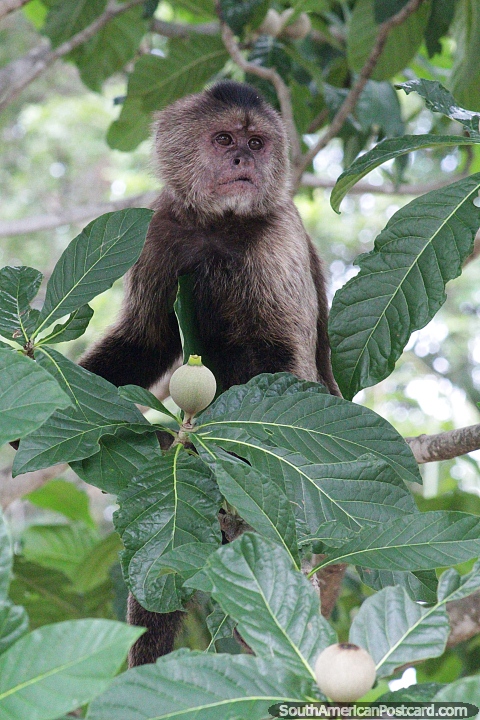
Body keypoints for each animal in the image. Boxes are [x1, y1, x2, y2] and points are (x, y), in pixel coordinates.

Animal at [79, 80, 340, 666]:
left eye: (257, 142)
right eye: (224, 140)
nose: (244, 159)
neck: (219, 225)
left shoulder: (277, 238)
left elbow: (286, 366)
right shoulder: (159, 229)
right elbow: (147, 340)